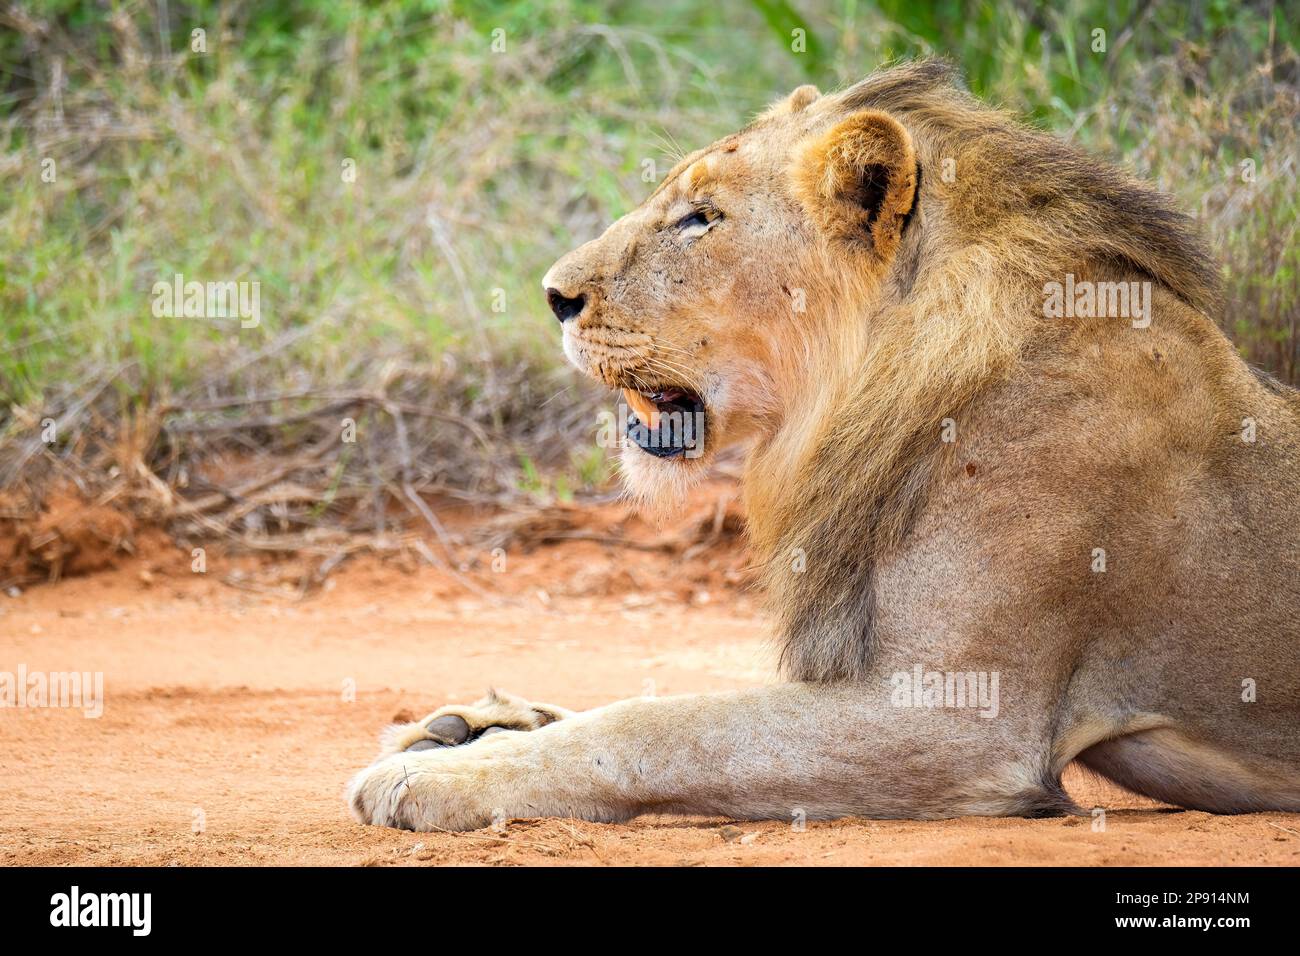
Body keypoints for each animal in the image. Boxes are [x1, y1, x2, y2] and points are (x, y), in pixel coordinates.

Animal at [348, 59, 1300, 831]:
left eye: (700, 219)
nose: (553, 295)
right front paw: (463, 729)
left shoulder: (955, 725)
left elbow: (663, 726)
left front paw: (440, 778)